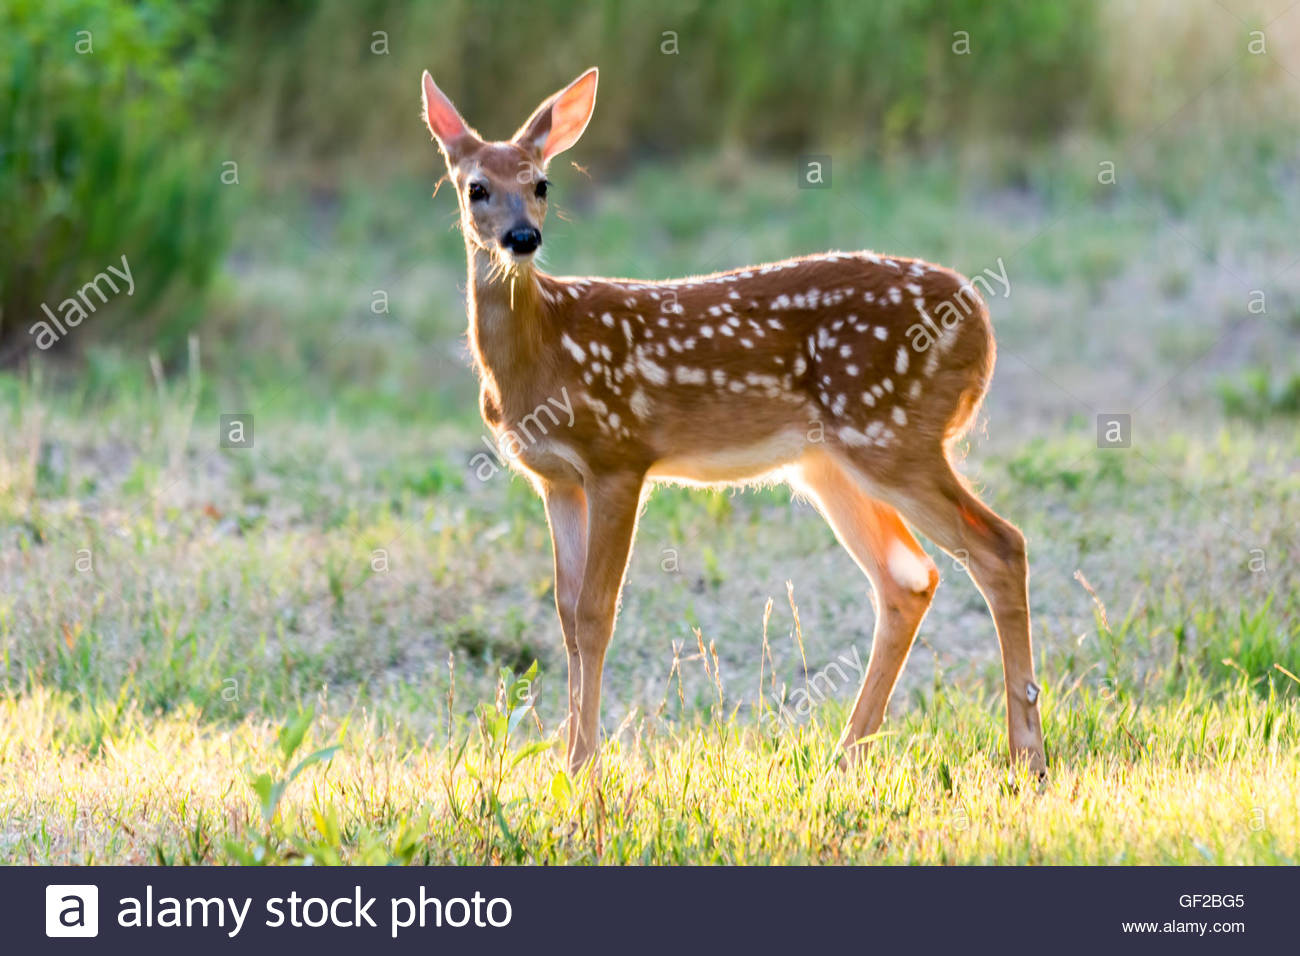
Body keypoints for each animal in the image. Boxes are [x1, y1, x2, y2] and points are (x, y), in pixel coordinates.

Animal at [420, 66, 1047, 779]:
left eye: (541, 184)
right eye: (477, 188)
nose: (523, 238)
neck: (543, 352)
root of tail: (981, 323)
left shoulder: (619, 455)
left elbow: (595, 613)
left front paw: (583, 768)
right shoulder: (555, 479)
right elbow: (565, 614)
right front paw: (571, 763)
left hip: (891, 431)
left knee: (999, 546)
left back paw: (1026, 756)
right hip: (830, 462)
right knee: (909, 578)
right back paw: (844, 753)